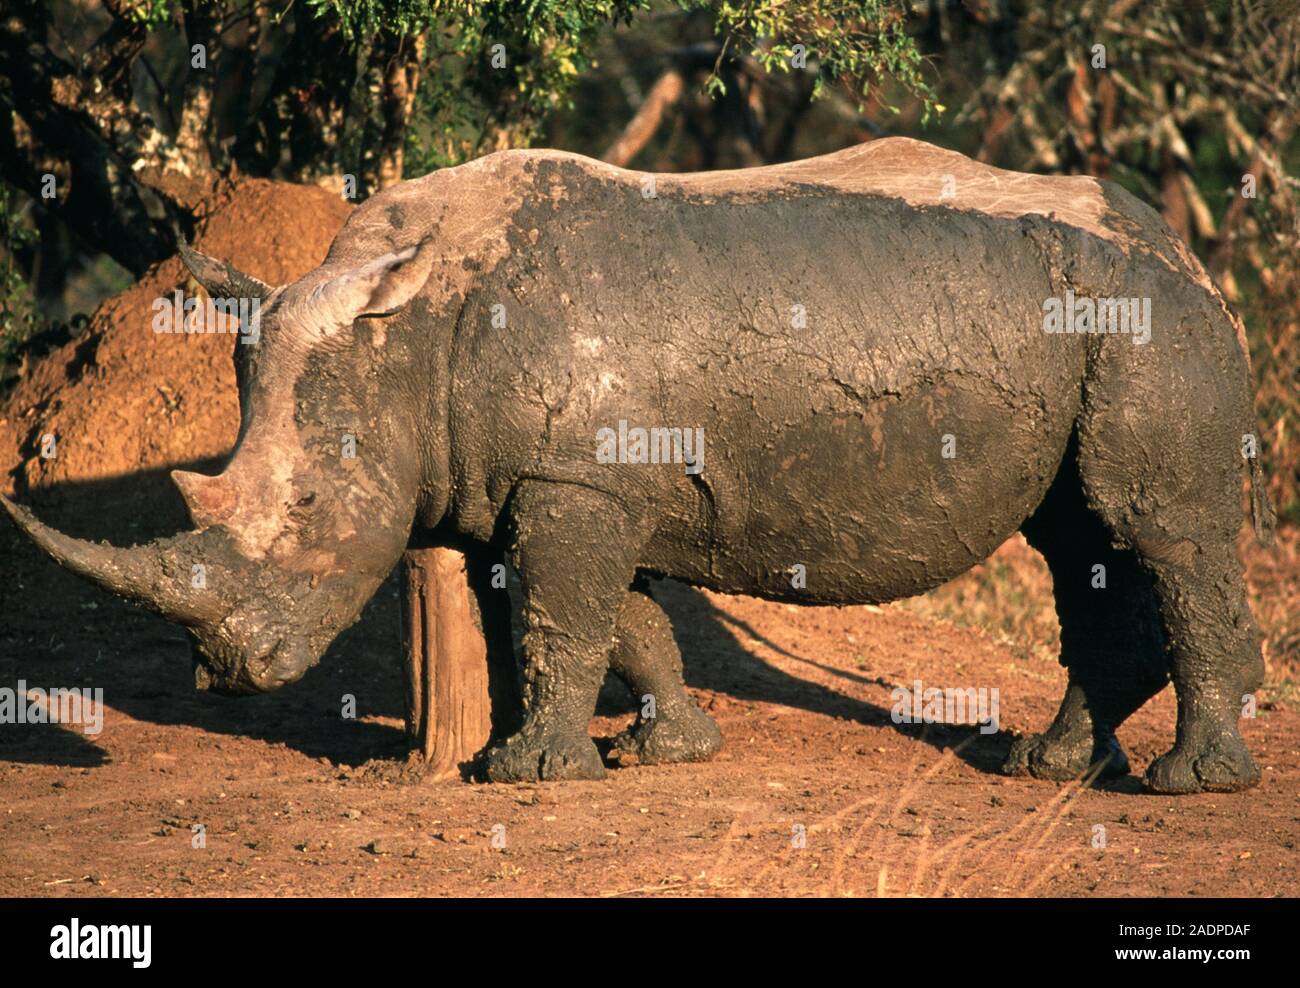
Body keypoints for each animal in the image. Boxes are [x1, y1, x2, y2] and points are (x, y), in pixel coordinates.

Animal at [3, 137, 1273, 793]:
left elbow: (560, 615)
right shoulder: (536, 482)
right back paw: (1046, 767)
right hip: (1092, 314)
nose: (227, 675)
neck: (409, 326)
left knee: (1158, 528)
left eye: (312, 504)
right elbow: (609, 618)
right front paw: (660, 750)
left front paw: (529, 776)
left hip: (1147, 321)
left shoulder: (574, 480)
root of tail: (1180, 243)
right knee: (1080, 536)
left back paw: (1192, 783)